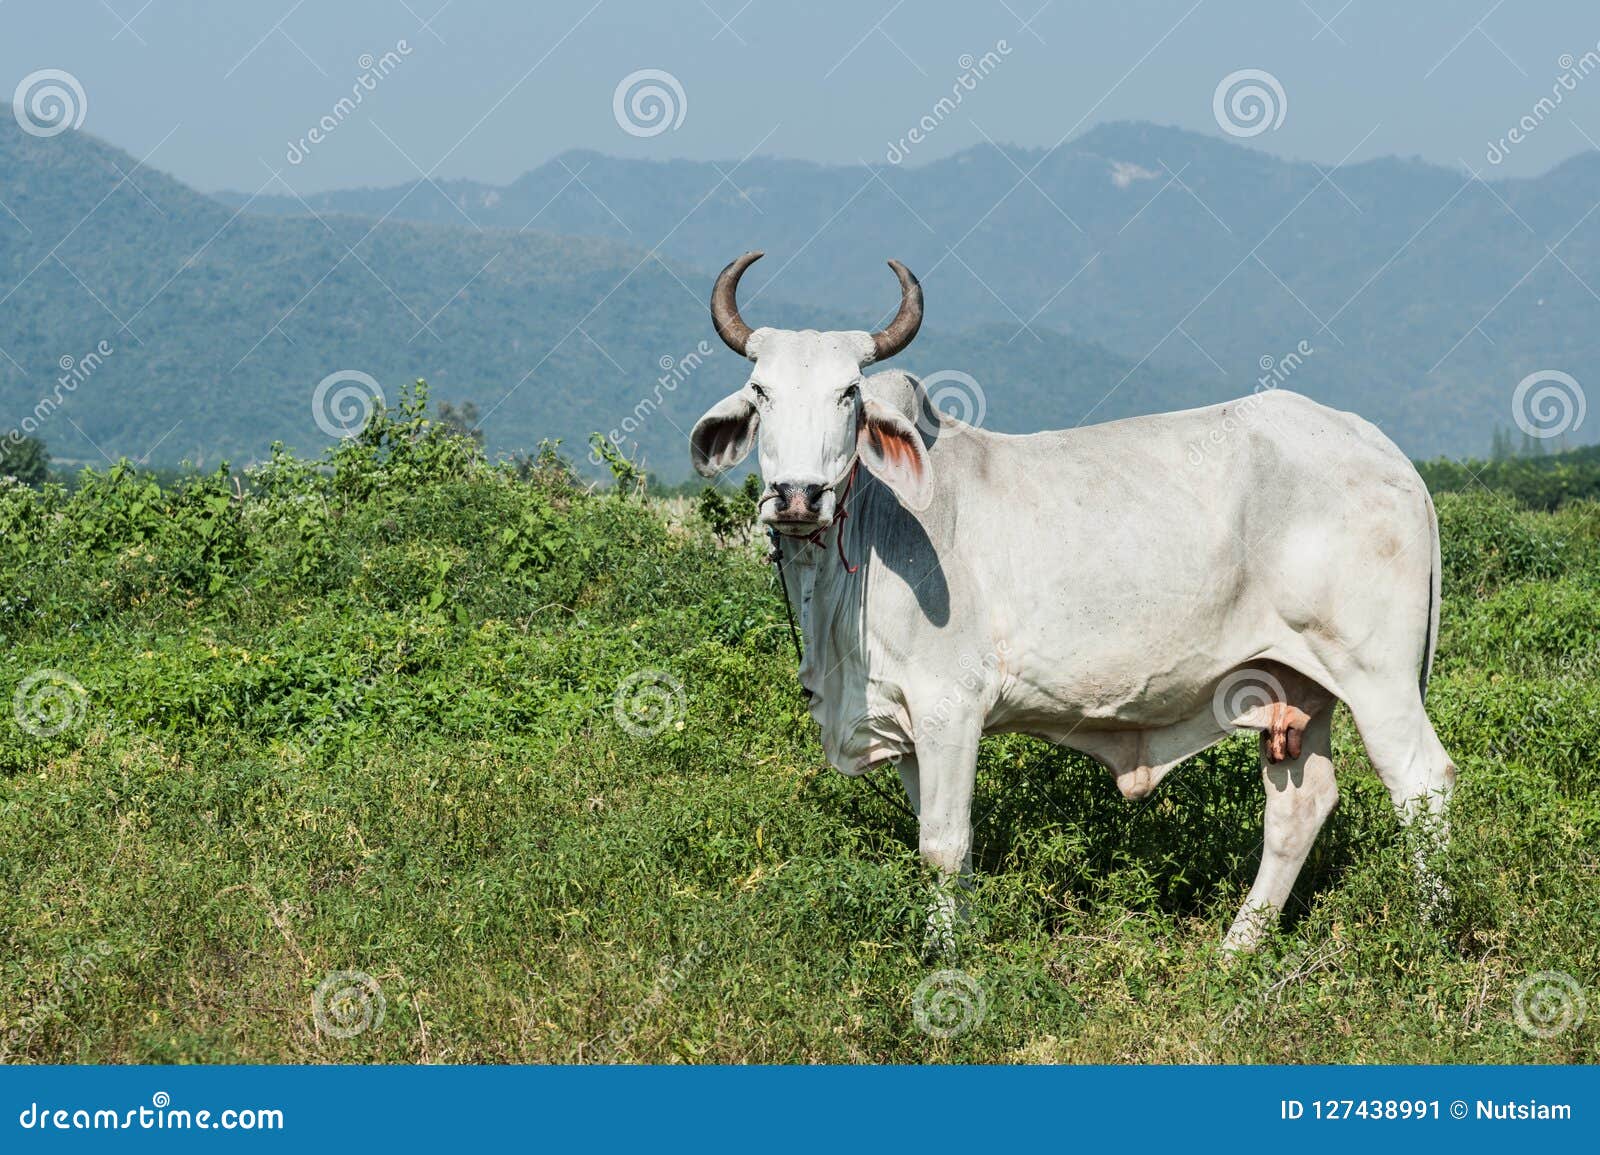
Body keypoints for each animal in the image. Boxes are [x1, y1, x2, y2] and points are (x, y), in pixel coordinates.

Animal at [690, 251, 1456, 952]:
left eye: (848, 392)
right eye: (760, 391)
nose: (796, 496)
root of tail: (1388, 454)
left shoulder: (950, 706)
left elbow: (943, 843)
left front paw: (944, 960)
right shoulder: (904, 726)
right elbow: (942, 843)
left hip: (1377, 676)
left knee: (1422, 782)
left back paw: (1432, 935)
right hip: (1294, 684)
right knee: (1301, 805)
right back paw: (1237, 951)